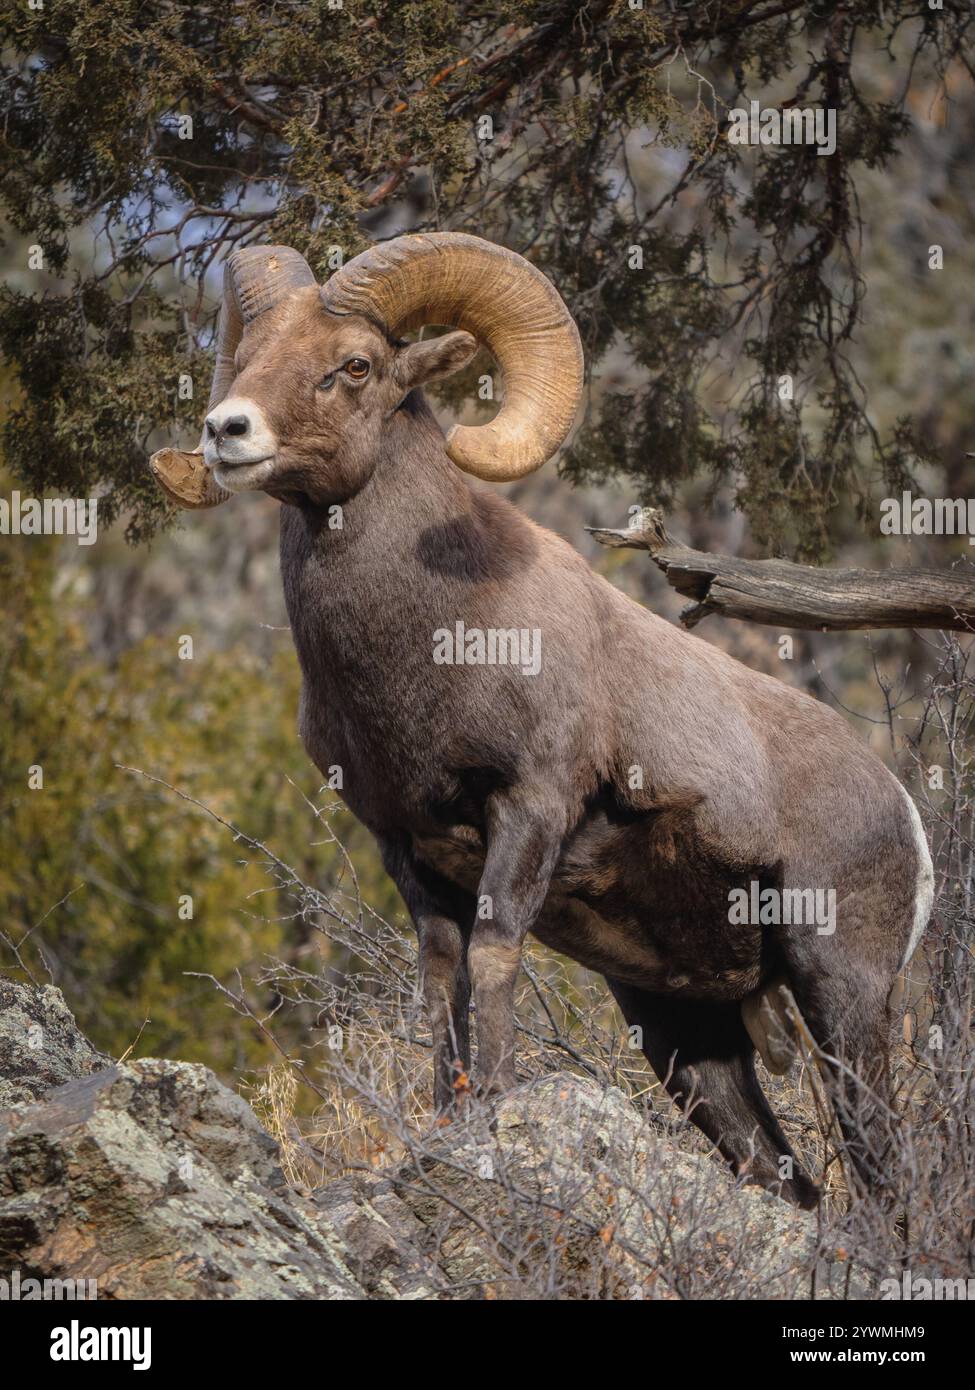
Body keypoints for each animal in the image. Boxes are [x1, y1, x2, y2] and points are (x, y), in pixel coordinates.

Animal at [151, 233, 934, 1207]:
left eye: (355, 365)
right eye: (251, 354)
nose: (228, 432)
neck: (433, 637)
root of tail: (900, 811)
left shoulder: (528, 809)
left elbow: (493, 955)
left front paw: (490, 1107)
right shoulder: (405, 848)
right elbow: (439, 975)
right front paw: (443, 1117)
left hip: (842, 999)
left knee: (884, 1175)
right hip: (686, 1040)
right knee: (789, 1183)